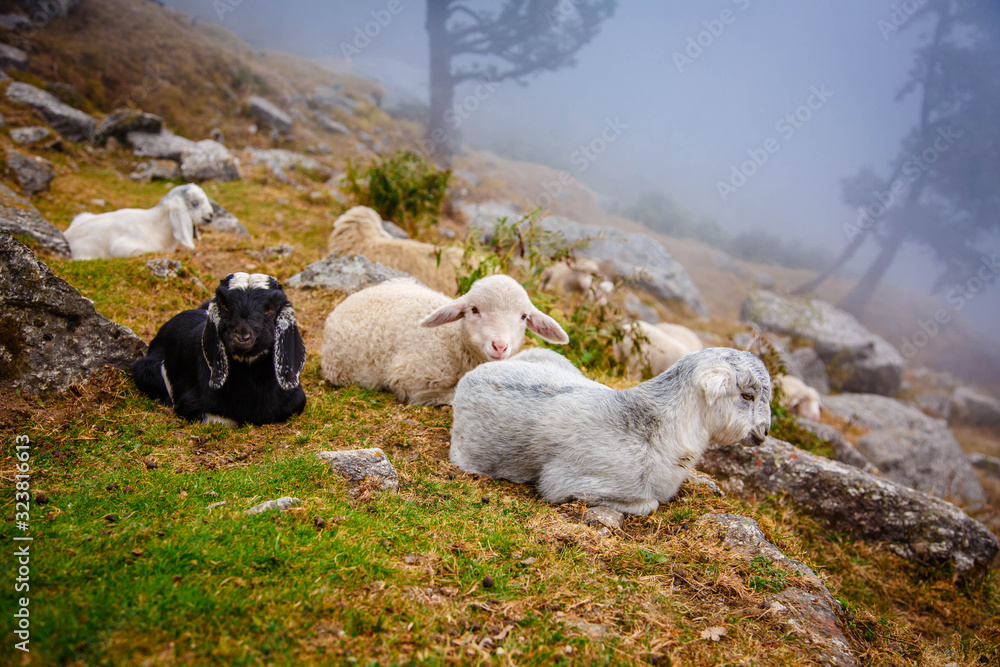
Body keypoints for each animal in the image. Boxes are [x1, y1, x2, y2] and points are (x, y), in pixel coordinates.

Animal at [450, 346, 772, 515]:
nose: (764, 431)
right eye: (747, 396)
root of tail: (473, 373)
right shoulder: (566, 482)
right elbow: (650, 504)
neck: (656, 428)